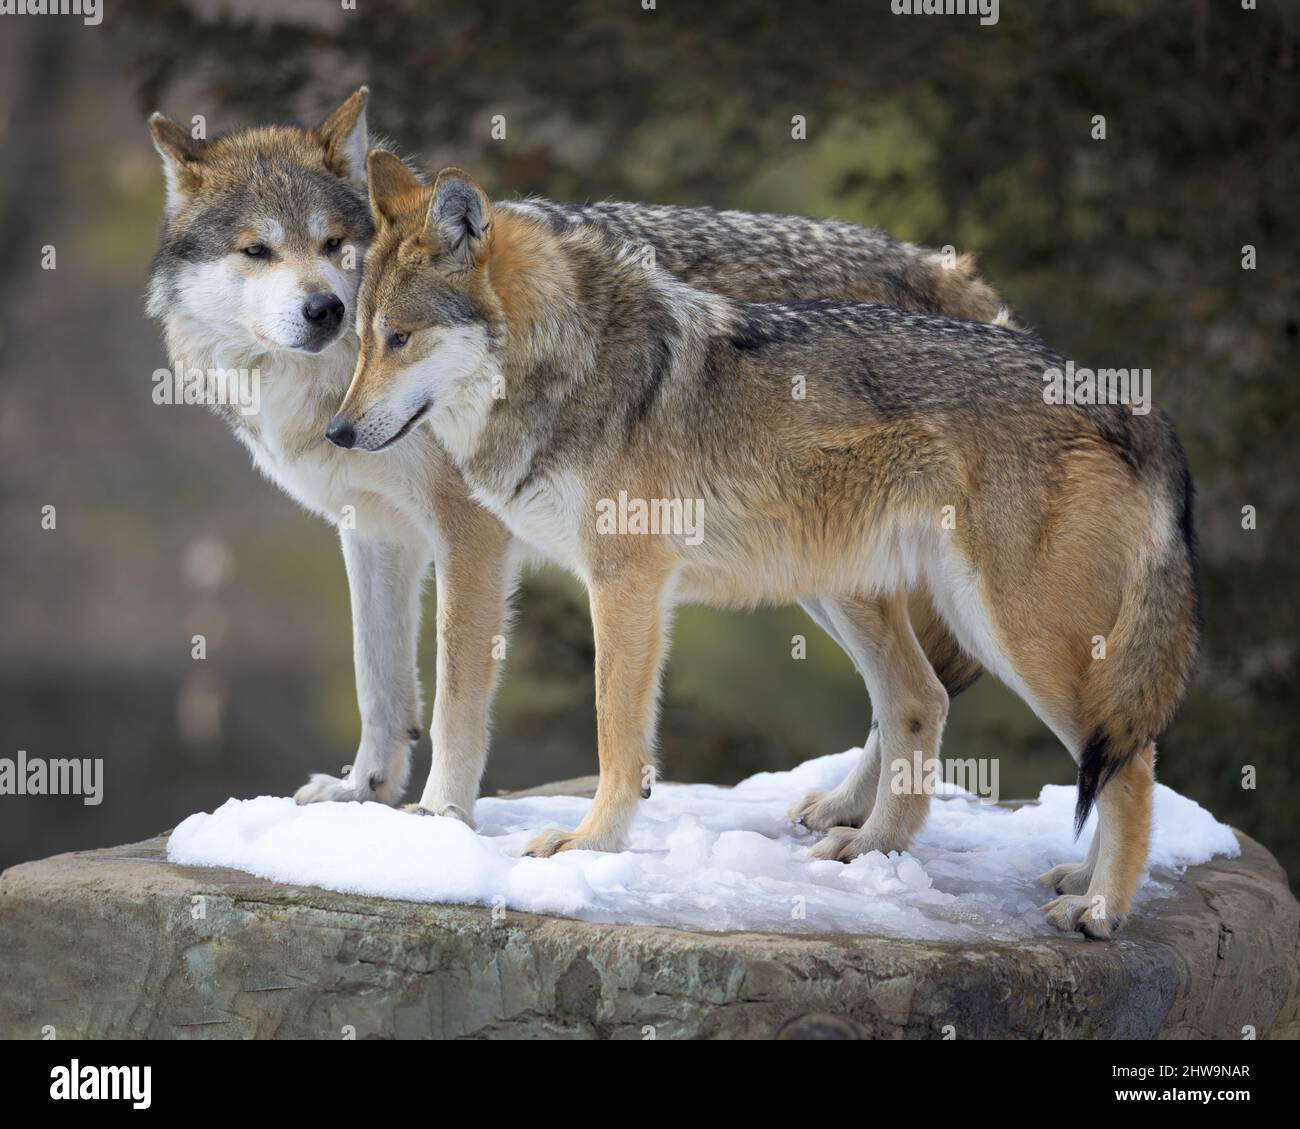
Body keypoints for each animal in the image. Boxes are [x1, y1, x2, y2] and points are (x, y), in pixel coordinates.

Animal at [145, 89, 1010, 832]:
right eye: (257, 250)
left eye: (333, 244)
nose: (323, 308)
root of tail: (947, 272)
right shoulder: (374, 532)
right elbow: (378, 680)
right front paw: (366, 791)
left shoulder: (472, 536)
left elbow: (456, 691)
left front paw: (440, 816)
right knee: (907, 690)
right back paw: (848, 813)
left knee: (915, 691)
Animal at [335, 155, 1200, 938]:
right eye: (360, 341)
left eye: (399, 337)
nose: (338, 432)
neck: (572, 364)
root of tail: (1123, 398)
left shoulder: (623, 580)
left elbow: (614, 731)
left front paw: (590, 843)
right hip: (858, 592)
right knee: (930, 702)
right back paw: (880, 848)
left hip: (1012, 632)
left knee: (1131, 762)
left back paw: (1100, 905)